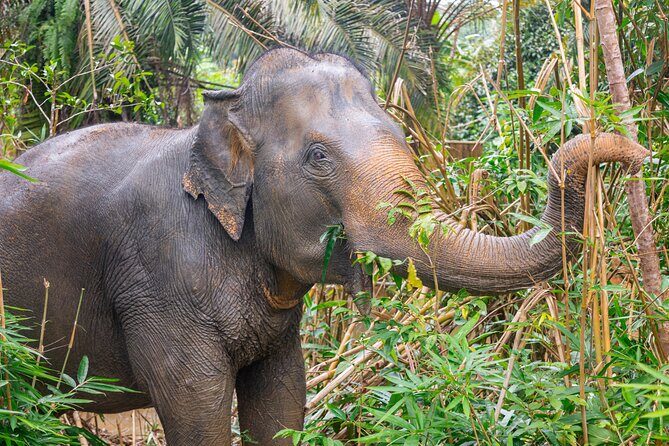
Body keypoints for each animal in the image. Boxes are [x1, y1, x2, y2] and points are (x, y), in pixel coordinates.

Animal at [0, 48, 648, 445]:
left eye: (399, 133)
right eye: (318, 157)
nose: (638, 150)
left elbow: (282, 405)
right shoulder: (158, 278)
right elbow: (196, 410)